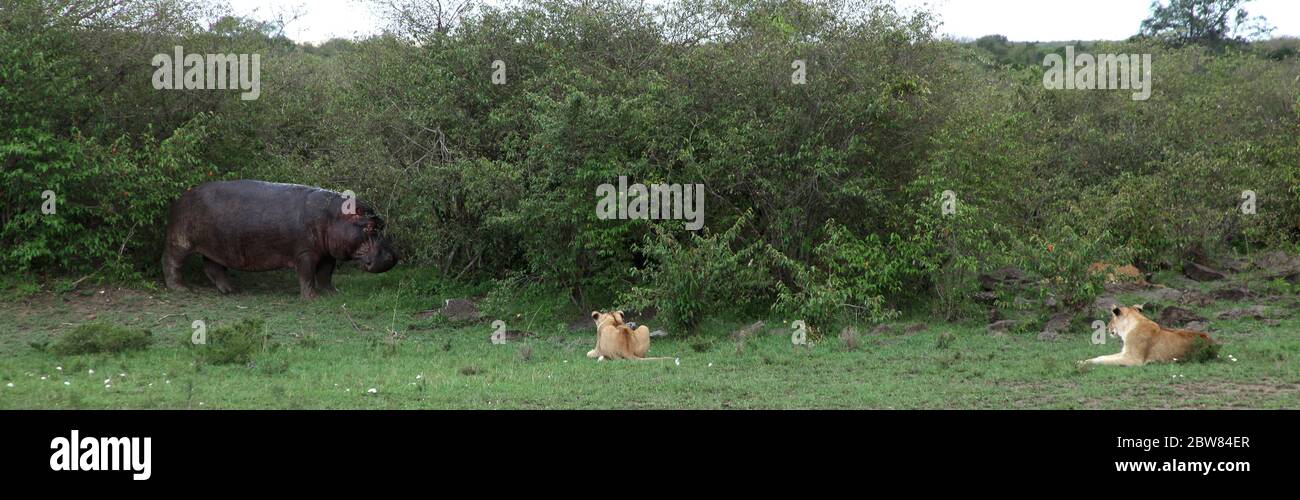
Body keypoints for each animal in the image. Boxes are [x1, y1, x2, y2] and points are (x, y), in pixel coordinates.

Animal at [1081, 304, 1215, 367]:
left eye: (1112, 318)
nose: (1107, 327)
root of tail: (1213, 342)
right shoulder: (1125, 353)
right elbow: (1102, 357)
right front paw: (1082, 361)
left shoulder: (1134, 359)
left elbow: (1105, 361)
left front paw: (1083, 363)